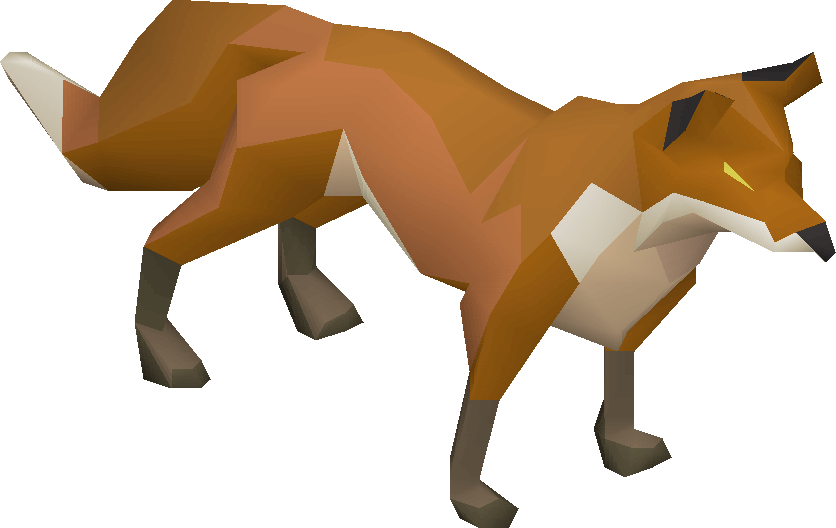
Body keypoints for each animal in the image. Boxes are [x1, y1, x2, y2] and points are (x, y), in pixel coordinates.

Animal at [3, 1, 832, 527]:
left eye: (793, 170)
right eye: (737, 179)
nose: (824, 241)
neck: (644, 237)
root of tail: (323, 33)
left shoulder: (627, 318)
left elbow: (618, 389)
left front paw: (622, 450)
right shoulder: (499, 311)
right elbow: (480, 414)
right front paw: (473, 502)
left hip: (334, 194)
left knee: (294, 233)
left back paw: (315, 304)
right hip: (249, 191)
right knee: (161, 236)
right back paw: (162, 351)